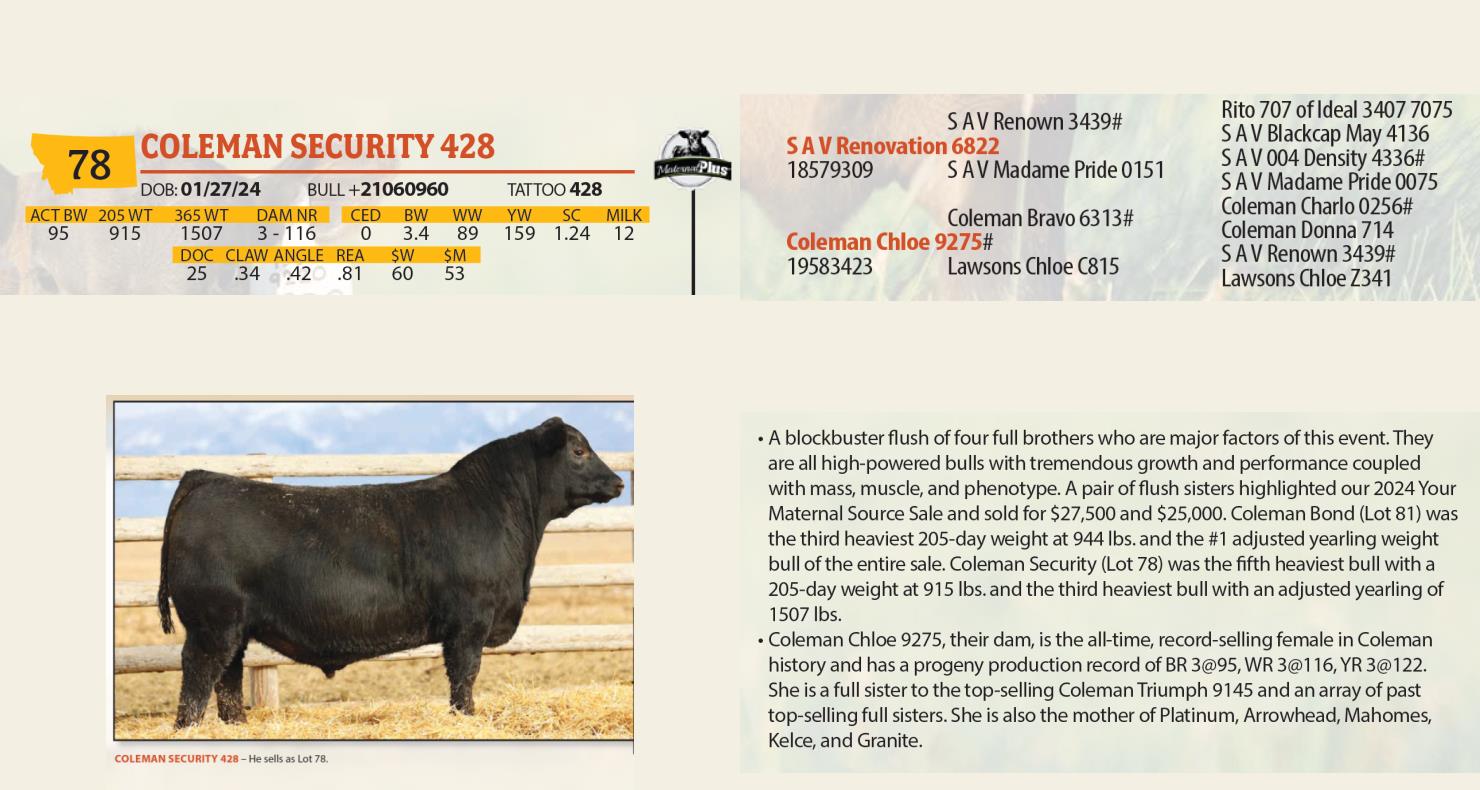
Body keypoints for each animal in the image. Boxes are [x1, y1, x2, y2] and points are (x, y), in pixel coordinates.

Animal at [155, 417, 625, 728]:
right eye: (579, 451)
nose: (619, 482)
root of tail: (206, 478)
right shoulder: (470, 621)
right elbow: (465, 676)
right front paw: (466, 718)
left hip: (234, 631)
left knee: (228, 682)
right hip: (212, 624)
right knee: (197, 680)